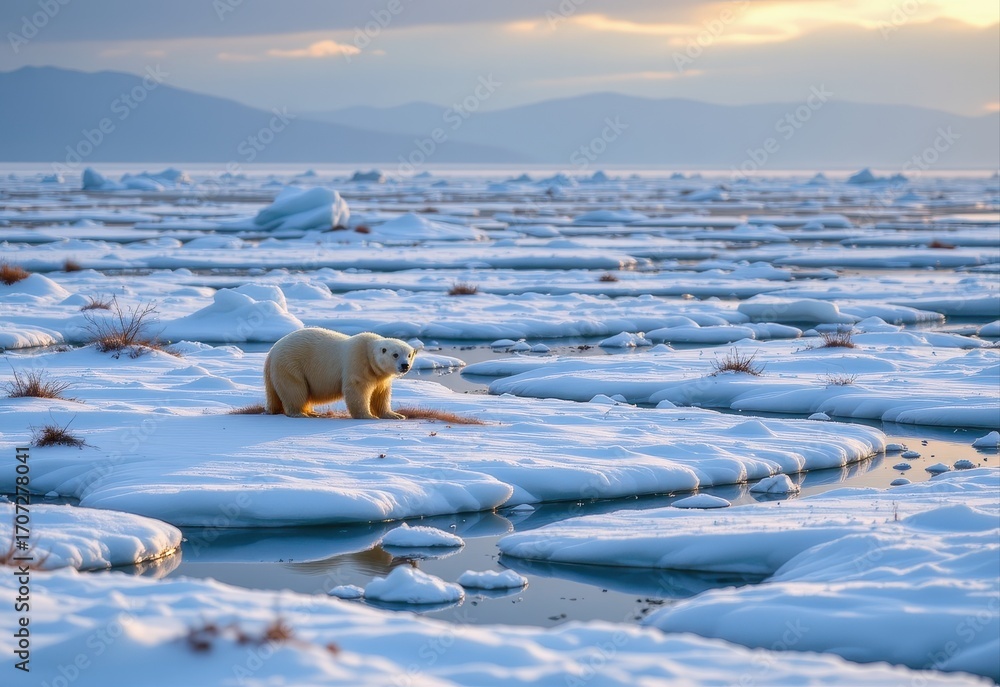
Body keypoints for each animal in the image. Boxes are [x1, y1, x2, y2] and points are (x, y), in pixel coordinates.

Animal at [263, 328, 415, 419]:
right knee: (295, 390)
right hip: (291, 364)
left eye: (409, 355)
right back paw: (300, 413)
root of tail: (272, 351)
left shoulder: (380, 376)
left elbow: (381, 394)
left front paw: (395, 415)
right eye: (395, 354)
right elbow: (357, 390)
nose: (405, 365)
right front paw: (368, 416)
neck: (368, 351)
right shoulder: (357, 362)